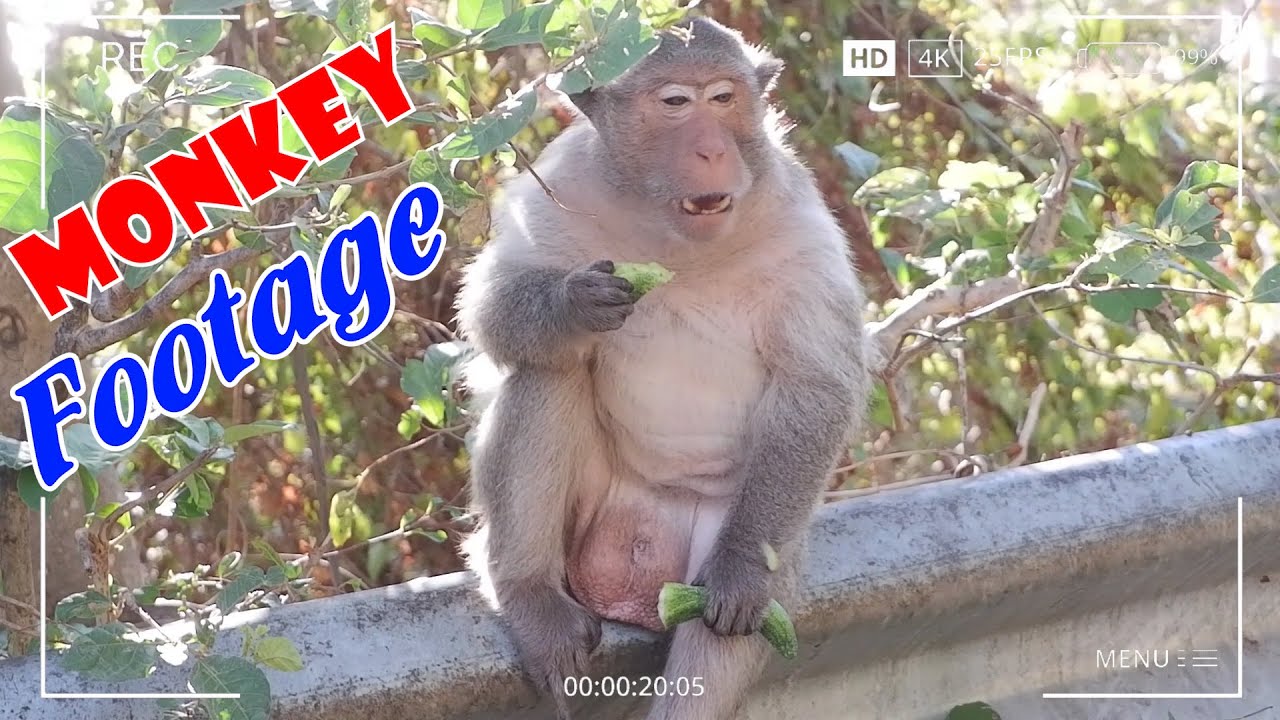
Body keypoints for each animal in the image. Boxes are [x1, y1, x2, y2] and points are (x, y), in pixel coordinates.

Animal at [454, 16, 870, 720]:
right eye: (676, 102)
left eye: (724, 98)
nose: (711, 151)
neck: (676, 243)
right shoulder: (561, 185)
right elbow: (491, 306)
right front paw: (572, 305)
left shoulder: (800, 222)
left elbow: (814, 388)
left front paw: (739, 570)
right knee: (545, 372)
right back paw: (529, 594)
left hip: (729, 540)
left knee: (727, 624)